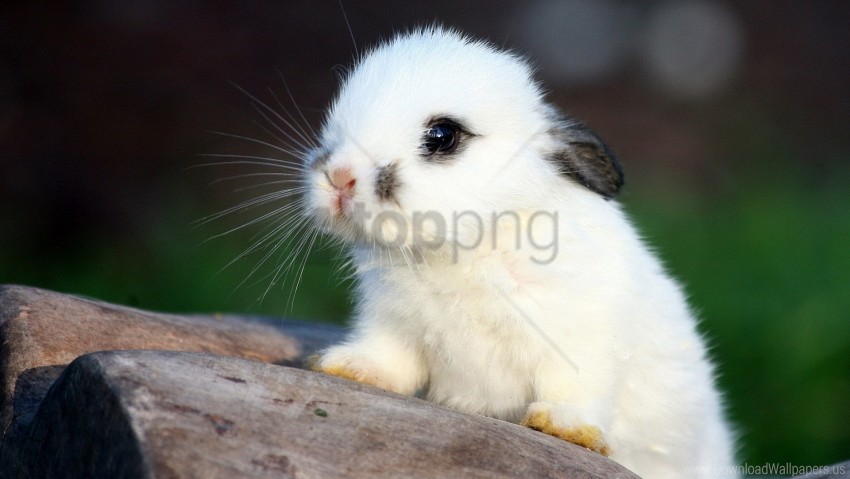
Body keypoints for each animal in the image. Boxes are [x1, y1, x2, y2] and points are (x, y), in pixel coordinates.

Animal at [302, 27, 738, 478]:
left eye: (442, 135)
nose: (339, 177)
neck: (463, 250)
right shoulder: (392, 324)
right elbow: (389, 359)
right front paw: (347, 367)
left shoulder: (581, 336)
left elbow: (576, 384)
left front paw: (563, 427)